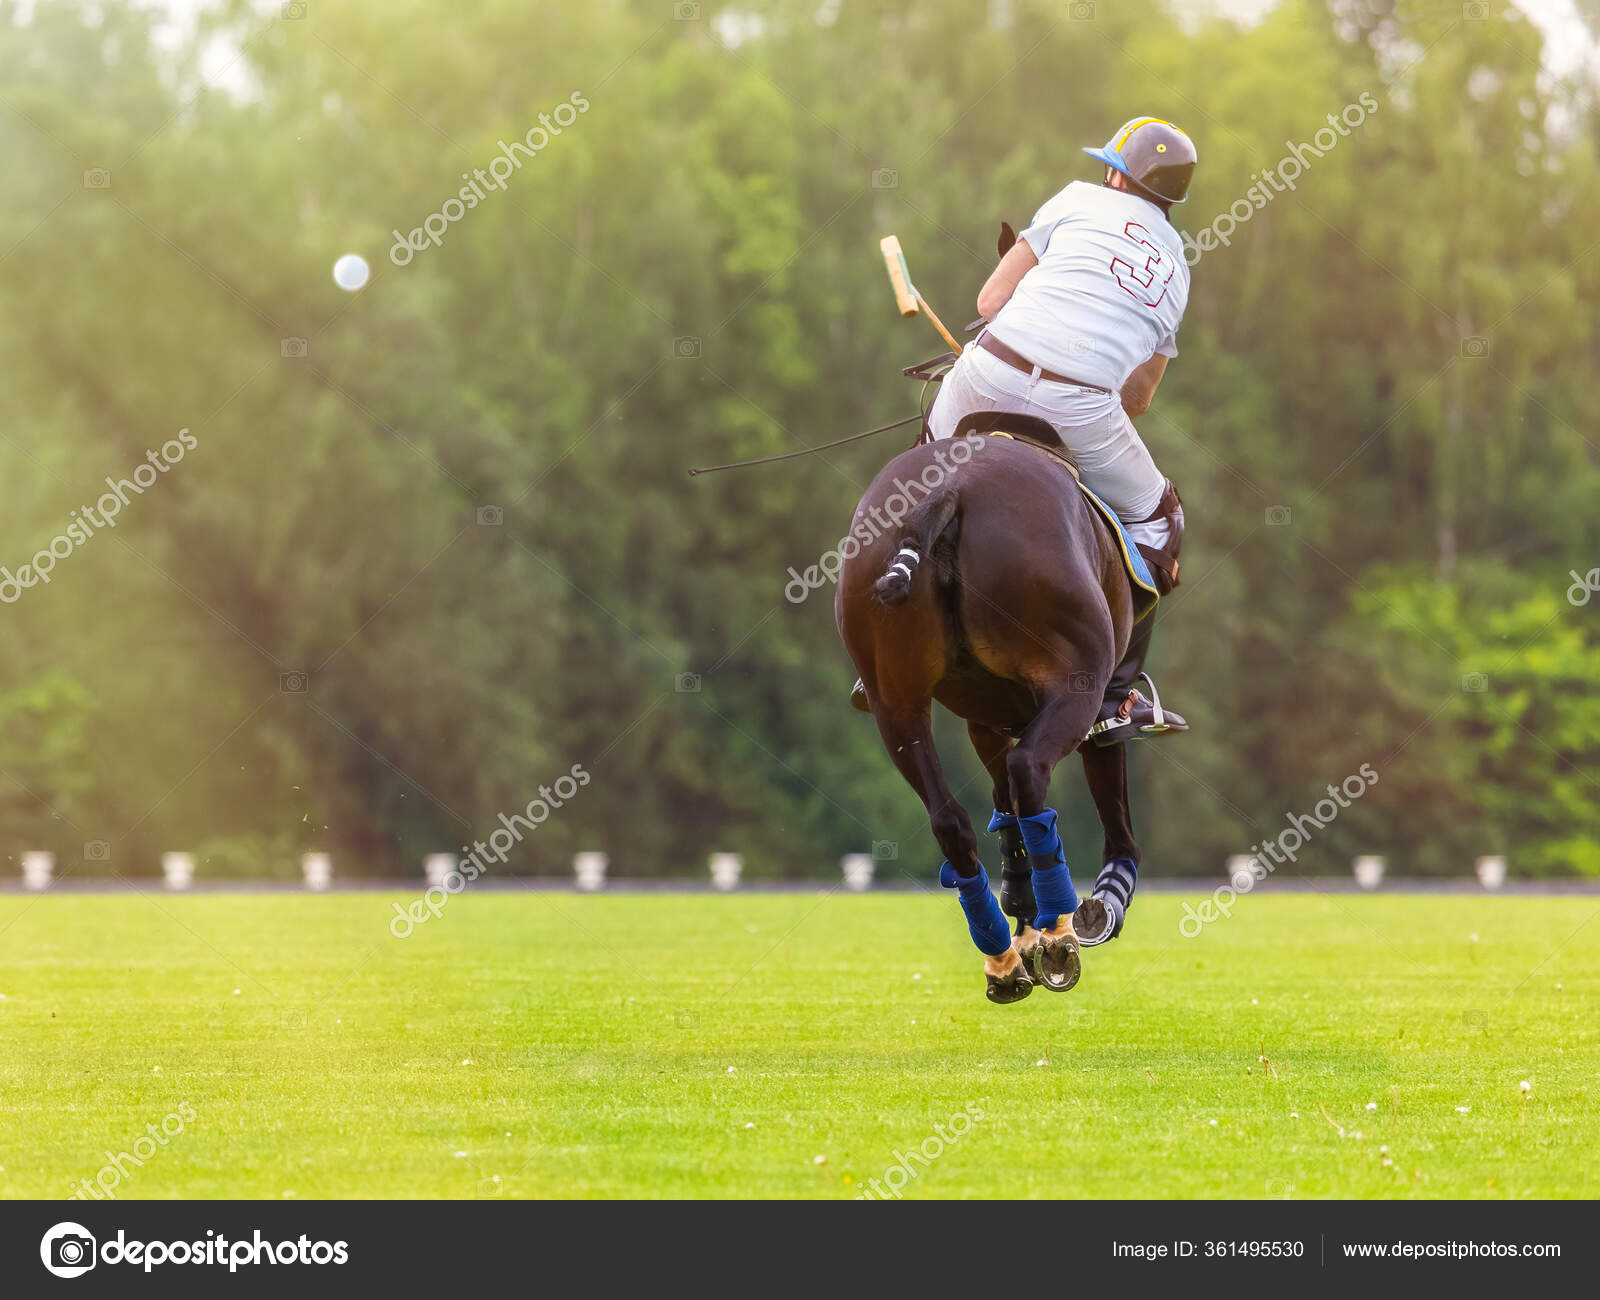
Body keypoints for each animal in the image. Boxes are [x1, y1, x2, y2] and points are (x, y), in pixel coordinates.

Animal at [835, 425, 1151, 1003]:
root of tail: (947, 492)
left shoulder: (987, 715)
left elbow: (1004, 813)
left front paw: (1021, 924)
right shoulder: (1081, 696)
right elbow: (1096, 772)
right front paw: (1102, 900)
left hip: (895, 701)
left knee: (950, 819)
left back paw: (1002, 957)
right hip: (1078, 677)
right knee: (1031, 770)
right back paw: (1058, 936)